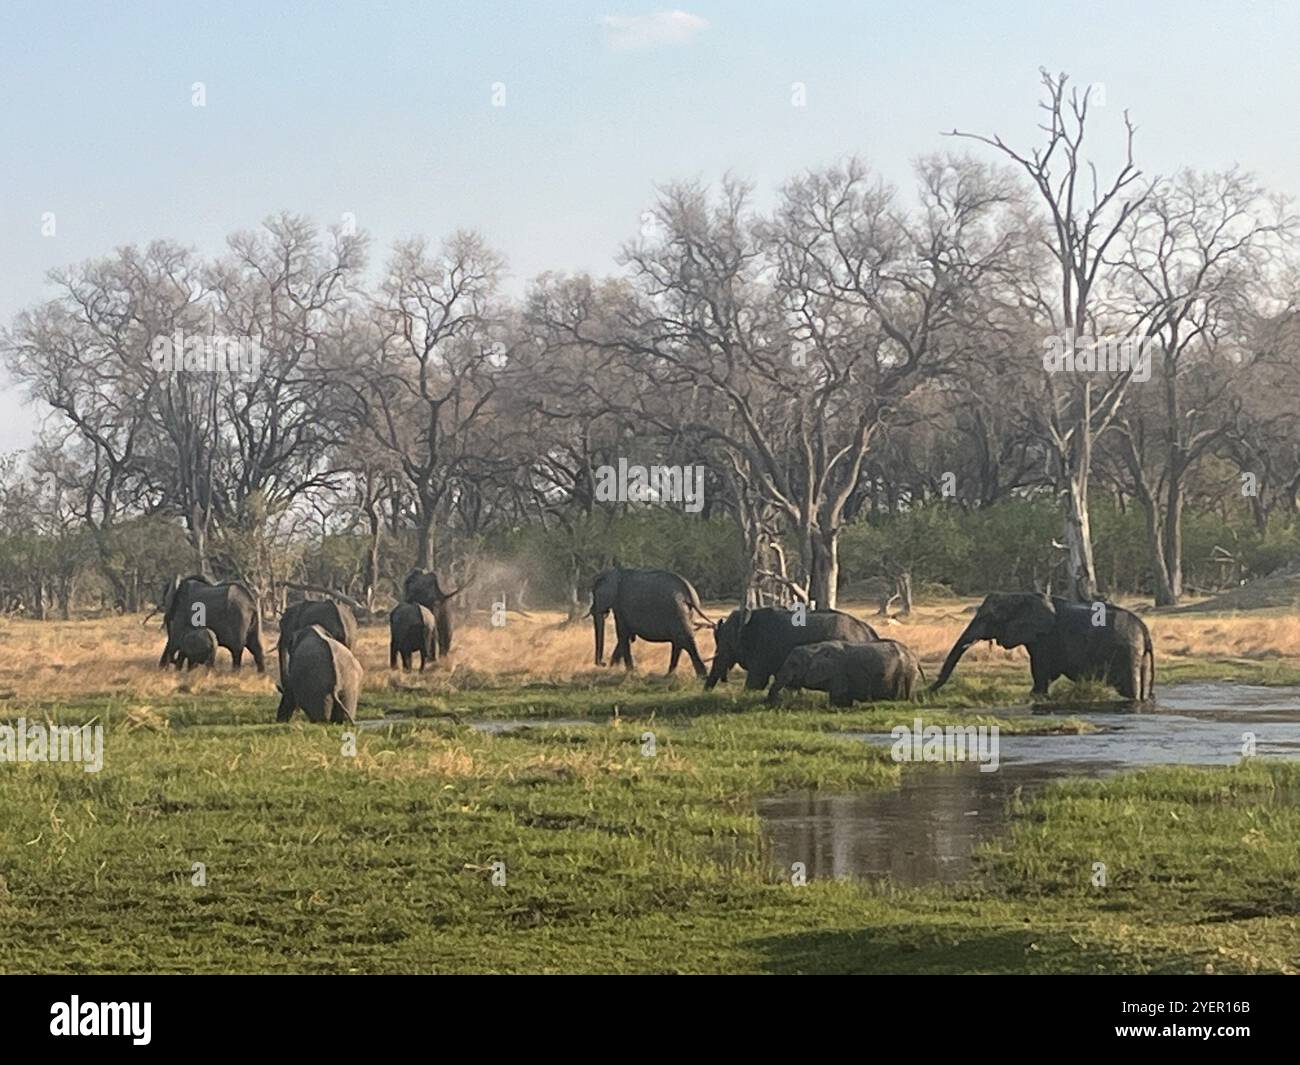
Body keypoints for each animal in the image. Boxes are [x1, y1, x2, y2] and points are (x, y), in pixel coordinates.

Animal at [704, 606, 880, 691]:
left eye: (726, 643)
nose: (706, 693)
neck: (748, 615)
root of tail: (869, 632)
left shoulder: (763, 650)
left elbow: (756, 682)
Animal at [766, 639, 922, 706]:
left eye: (794, 664)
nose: (775, 703)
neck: (813, 648)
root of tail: (914, 656)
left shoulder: (838, 673)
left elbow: (838, 694)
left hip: (906, 672)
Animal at [930, 592, 1154, 701]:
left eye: (990, 617)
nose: (927, 692)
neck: (1021, 596)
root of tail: (1145, 631)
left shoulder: (1045, 639)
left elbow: (1041, 670)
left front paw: (1036, 697)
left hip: (1127, 652)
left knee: (1129, 688)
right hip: (1138, 655)